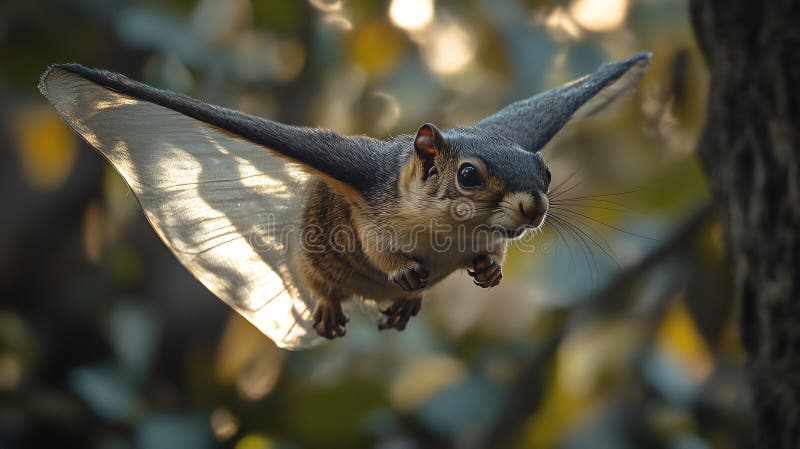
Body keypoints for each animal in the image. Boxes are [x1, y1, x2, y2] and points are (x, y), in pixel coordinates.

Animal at [39, 52, 651, 348]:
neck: (451, 234)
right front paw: (402, 269)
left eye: (544, 169)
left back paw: (407, 303)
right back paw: (341, 306)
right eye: (469, 175)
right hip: (315, 255)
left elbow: (491, 253)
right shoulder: (367, 208)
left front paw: (489, 269)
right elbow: (378, 248)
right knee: (323, 282)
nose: (535, 209)